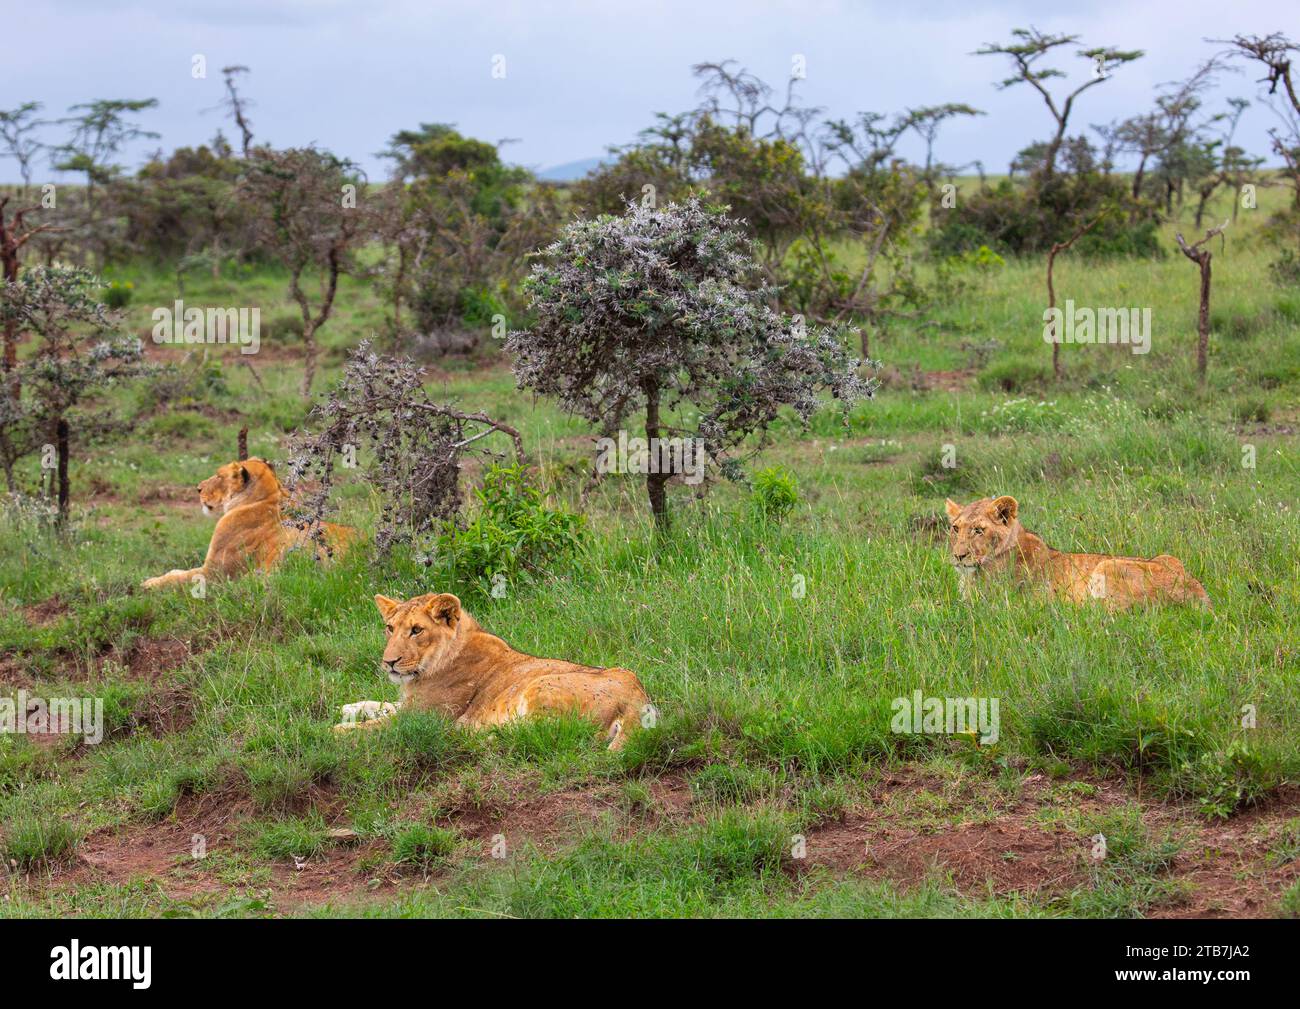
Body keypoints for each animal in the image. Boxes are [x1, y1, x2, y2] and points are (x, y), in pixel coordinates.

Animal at [141, 458, 353, 590]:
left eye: (219, 476)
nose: (198, 488)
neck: (267, 497)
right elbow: (178, 572)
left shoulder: (215, 571)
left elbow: (180, 578)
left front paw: (149, 584)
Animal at [334, 592, 652, 750]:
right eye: (390, 628)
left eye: (416, 630)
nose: (389, 662)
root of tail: (638, 697)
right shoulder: (411, 705)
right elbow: (385, 705)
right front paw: (350, 708)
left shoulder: (423, 717)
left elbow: (372, 727)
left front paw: (334, 731)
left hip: (541, 686)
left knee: (548, 734)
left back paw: (470, 734)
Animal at [946, 496, 1210, 610]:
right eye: (955, 528)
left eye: (979, 530)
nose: (958, 556)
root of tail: (1199, 595)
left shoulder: (991, 603)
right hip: (1168, 557)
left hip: (1108, 566)